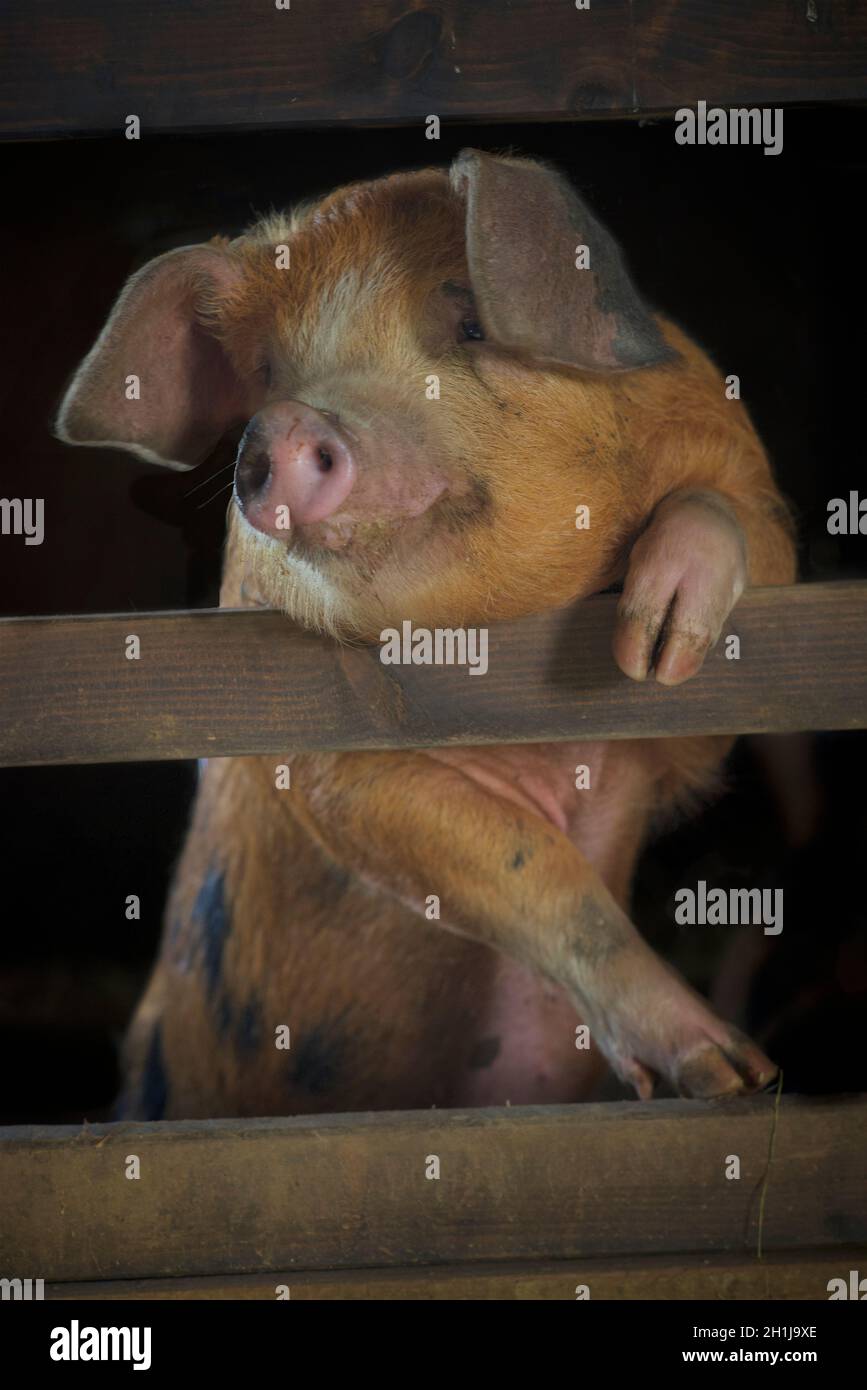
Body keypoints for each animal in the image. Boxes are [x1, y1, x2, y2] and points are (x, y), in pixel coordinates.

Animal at [56, 150, 796, 1118]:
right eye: (267, 373)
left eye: (472, 324)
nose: (285, 425)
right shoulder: (332, 769)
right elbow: (540, 875)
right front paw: (729, 1076)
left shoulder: (695, 721)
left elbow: (734, 534)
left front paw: (652, 647)